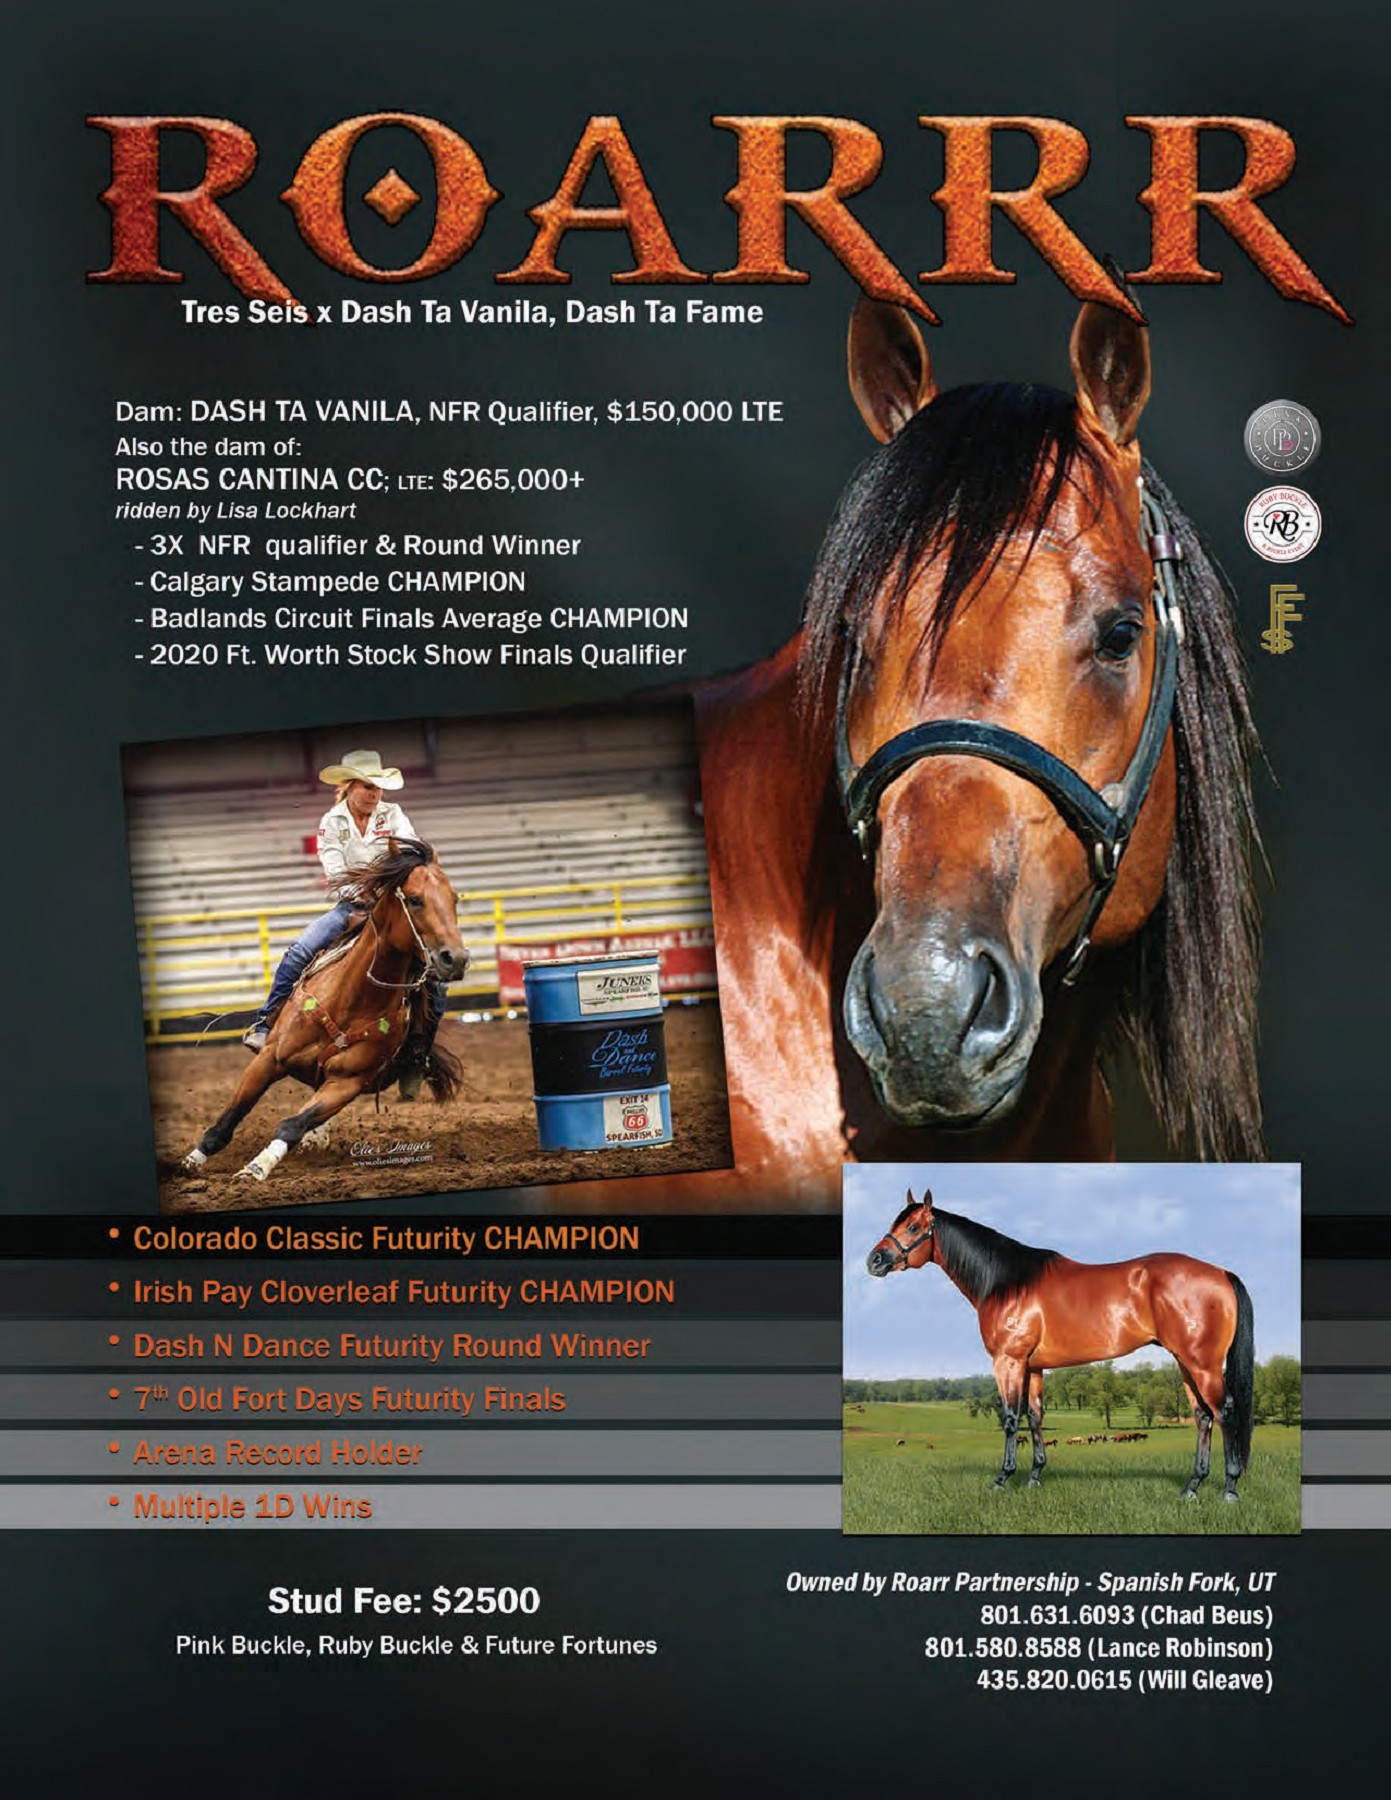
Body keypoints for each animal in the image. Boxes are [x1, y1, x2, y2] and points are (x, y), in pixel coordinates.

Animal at [180, 840, 467, 1184]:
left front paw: (256, 1167)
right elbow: (228, 1120)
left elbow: (293, 1124)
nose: (456, 959)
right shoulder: (269, 1058)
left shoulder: (346, 1083)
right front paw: (191, 1162)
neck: (354, 999)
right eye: (415, 900)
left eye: (454, 899)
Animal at [864, 1189, 1255, 1502]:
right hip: (1185, 1362)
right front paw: (1035, 1475)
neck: (1008, 1282)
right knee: (1203, 1417)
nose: (874, 1260)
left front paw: (1003, 1478)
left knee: (1225, 1413)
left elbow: (1011, 1418)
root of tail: (1221, 1274)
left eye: (914, 1227)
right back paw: (1192, 1486)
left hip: (1202, 1364)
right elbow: (1035, 1416)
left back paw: (1230, 1488)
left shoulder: (1008, 1361)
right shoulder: (1034, 1366)